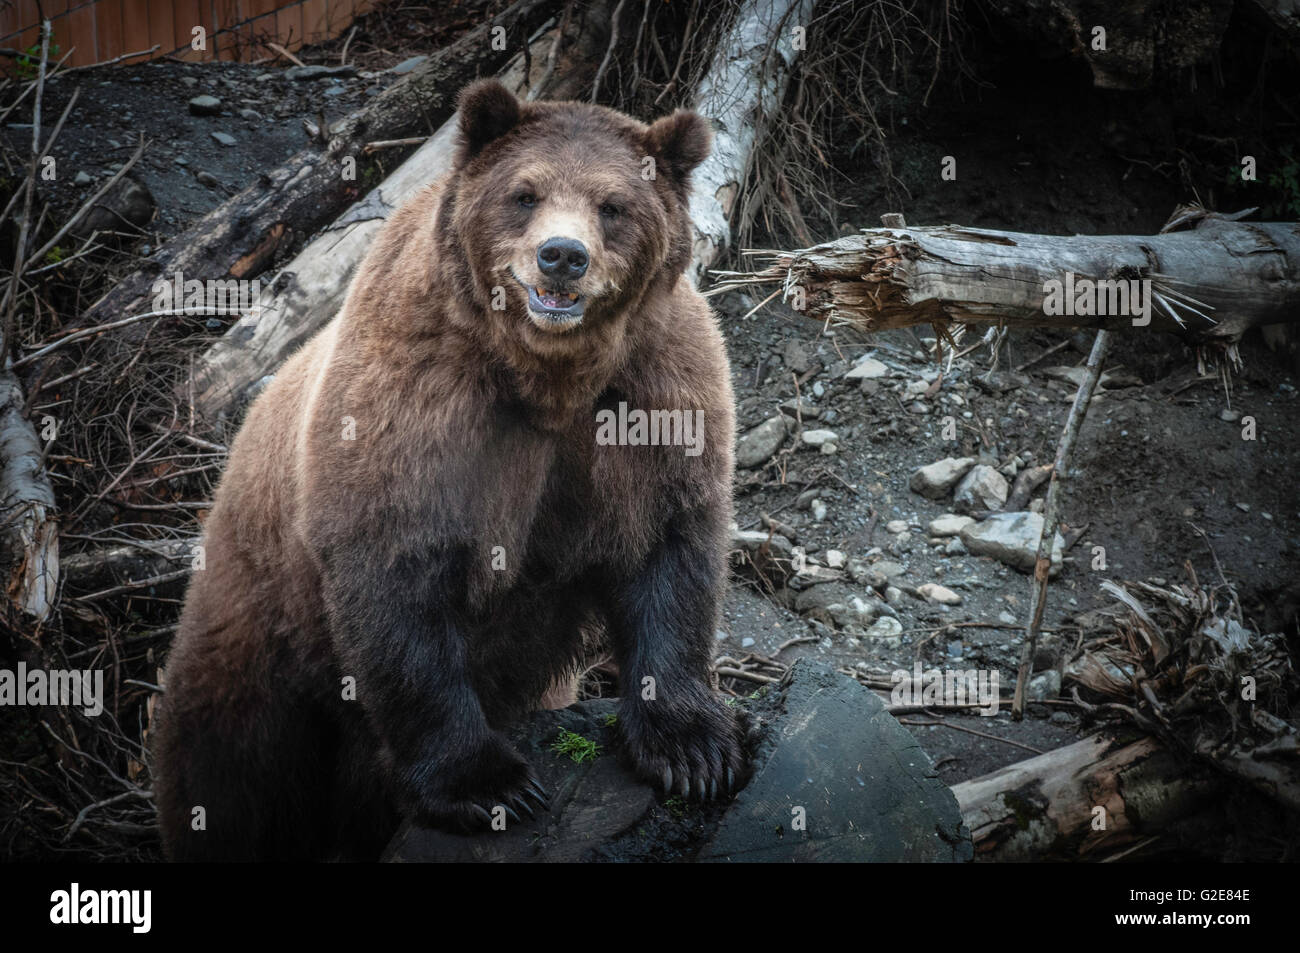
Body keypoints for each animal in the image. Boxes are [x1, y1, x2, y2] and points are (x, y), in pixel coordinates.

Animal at [151, 79, 746, 861]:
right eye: (524, 193)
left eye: (613, 204)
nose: (561, 256)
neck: (548, 374)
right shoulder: (419, 399)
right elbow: (399, 573)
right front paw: (490, 785)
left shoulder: (652, 393)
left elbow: (669, 548)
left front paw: (693, 749)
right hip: (257, 637)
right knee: (236, 777)